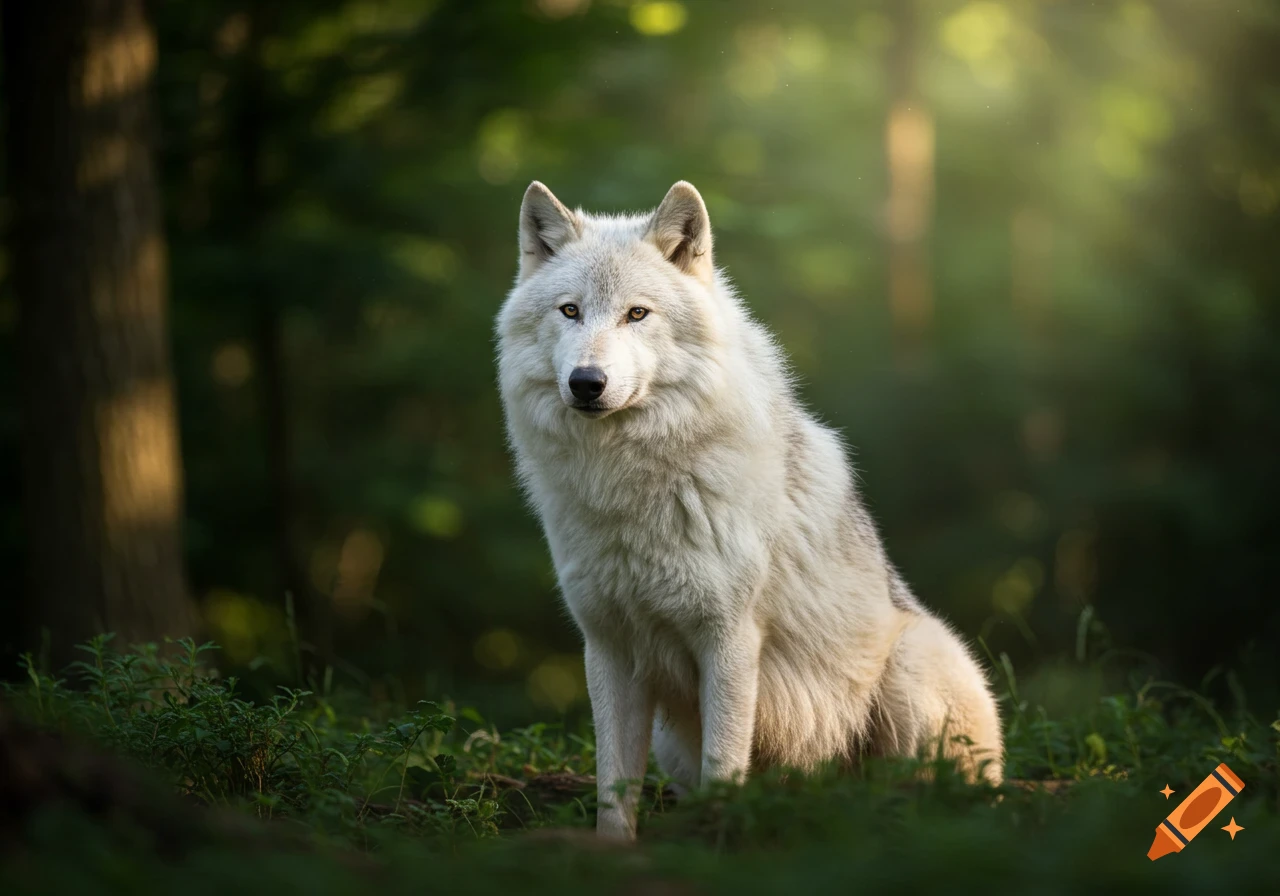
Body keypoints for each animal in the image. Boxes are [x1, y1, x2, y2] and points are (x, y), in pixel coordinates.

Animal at [494, 180, 1004, 840]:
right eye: (570, 311)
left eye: (637, 314)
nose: (587, 382)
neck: (631, 488)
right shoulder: (608, 648)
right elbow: (613, 788)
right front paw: (612, 850)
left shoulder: (731, 640)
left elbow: (724, 765)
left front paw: (718, 840)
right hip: (672, 741)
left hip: (912, 669)